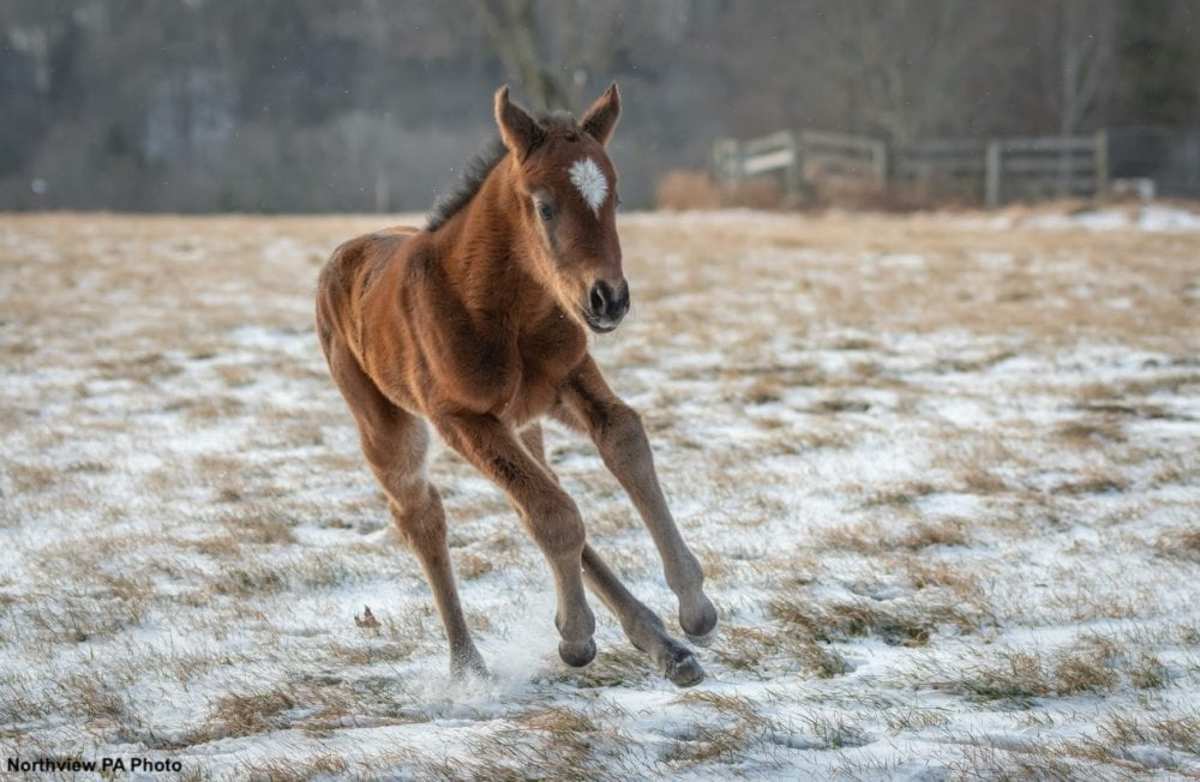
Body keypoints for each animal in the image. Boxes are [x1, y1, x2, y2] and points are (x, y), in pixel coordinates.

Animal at [315, 83, 717, 686]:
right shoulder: (460, 417)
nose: (609, 299)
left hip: (526, 422)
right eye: (545, 206)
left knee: (540, 494)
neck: (502, 308)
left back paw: (662, 644)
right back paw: (468, 670)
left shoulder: (569, 376)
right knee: (423, 516)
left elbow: (624, 442)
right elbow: (553, 513)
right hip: (389, 425)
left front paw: (692, 606)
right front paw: (575, 636)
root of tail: (342, 255)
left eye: (616, 200)